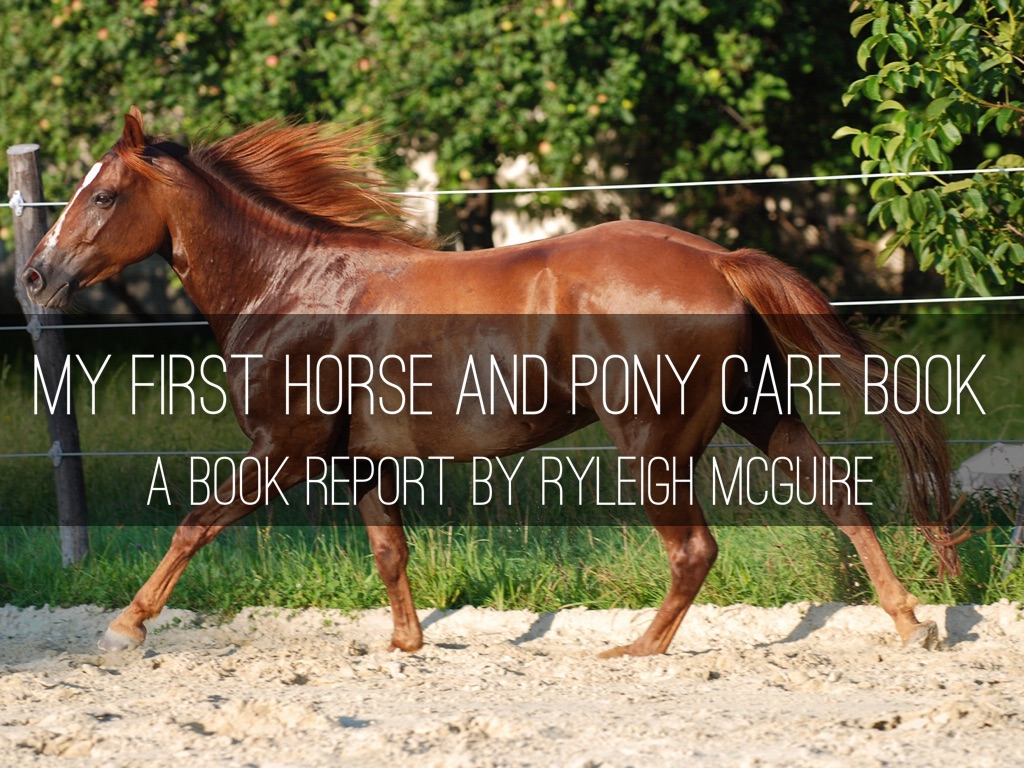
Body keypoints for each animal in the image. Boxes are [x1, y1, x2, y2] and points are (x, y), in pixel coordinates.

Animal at [21, 107, 960, 657]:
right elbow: (389, 550)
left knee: (695, 549)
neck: (290, 287)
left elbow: (195, 524)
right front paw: (407, 646)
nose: (34, 277)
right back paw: (911, 623)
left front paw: (124, 626)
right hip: (756, 410)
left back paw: (636, 651)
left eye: (102, 195)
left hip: (654, 442)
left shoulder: (284, 448)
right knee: (838, 497)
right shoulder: (361, 461)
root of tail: (719, 261)